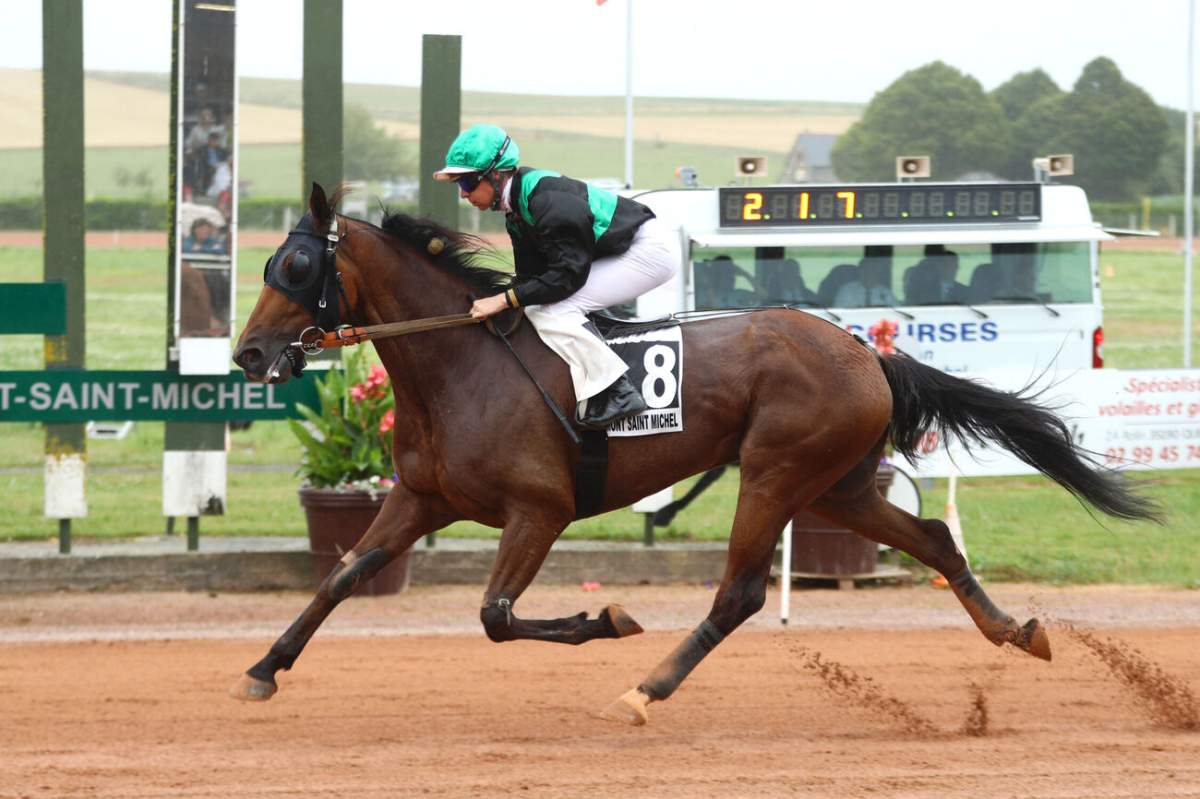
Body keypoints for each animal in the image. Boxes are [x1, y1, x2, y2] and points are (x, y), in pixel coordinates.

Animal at [229, 183, 1160, 725]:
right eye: (271, 260)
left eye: (298, 263)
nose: (247, 354)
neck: (461, 361)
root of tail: (867, 352)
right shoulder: (420, 497)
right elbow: (342, 575)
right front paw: (263, 667)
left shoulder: (541, 509)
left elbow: (495, 615)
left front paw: (608, 618)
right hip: (838, 486)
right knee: (933, 538)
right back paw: (1018, 630)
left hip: (778, 471)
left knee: (741, 591)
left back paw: (647, 687)